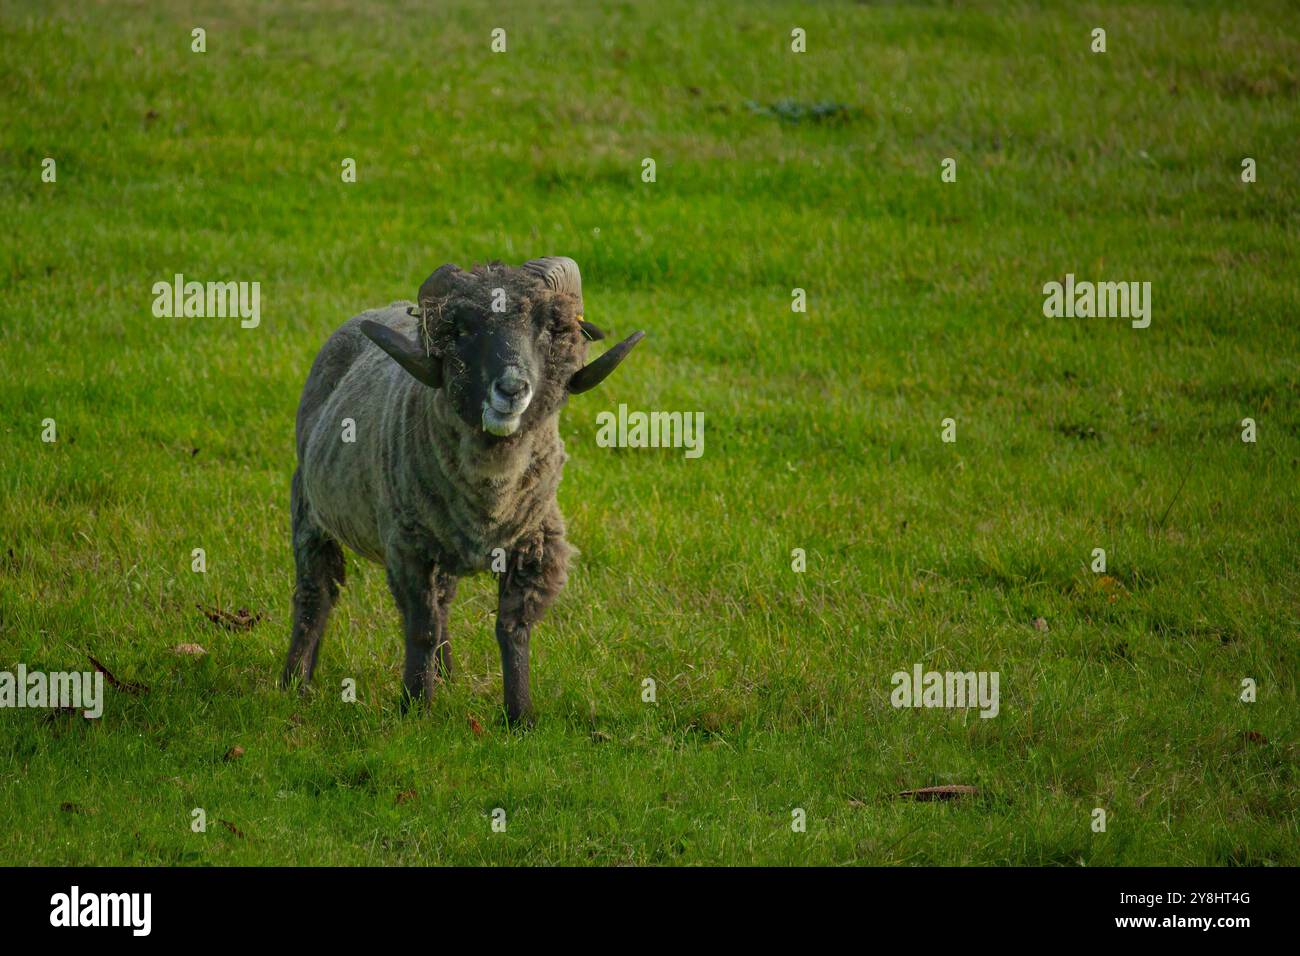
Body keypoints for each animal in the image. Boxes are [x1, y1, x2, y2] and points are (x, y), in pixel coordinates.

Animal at [280, 257, 644, 723]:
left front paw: (520, 717)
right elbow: (421, 626)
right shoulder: (407, 547)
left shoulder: (535, 548)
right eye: (463, 330)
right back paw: (294, 682)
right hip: (310, 511)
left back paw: (447, 676)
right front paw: (415, 707)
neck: (492, 492)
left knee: (443, 602)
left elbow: (512, 629)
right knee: (315, 596)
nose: (512, 389)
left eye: (550, 327)